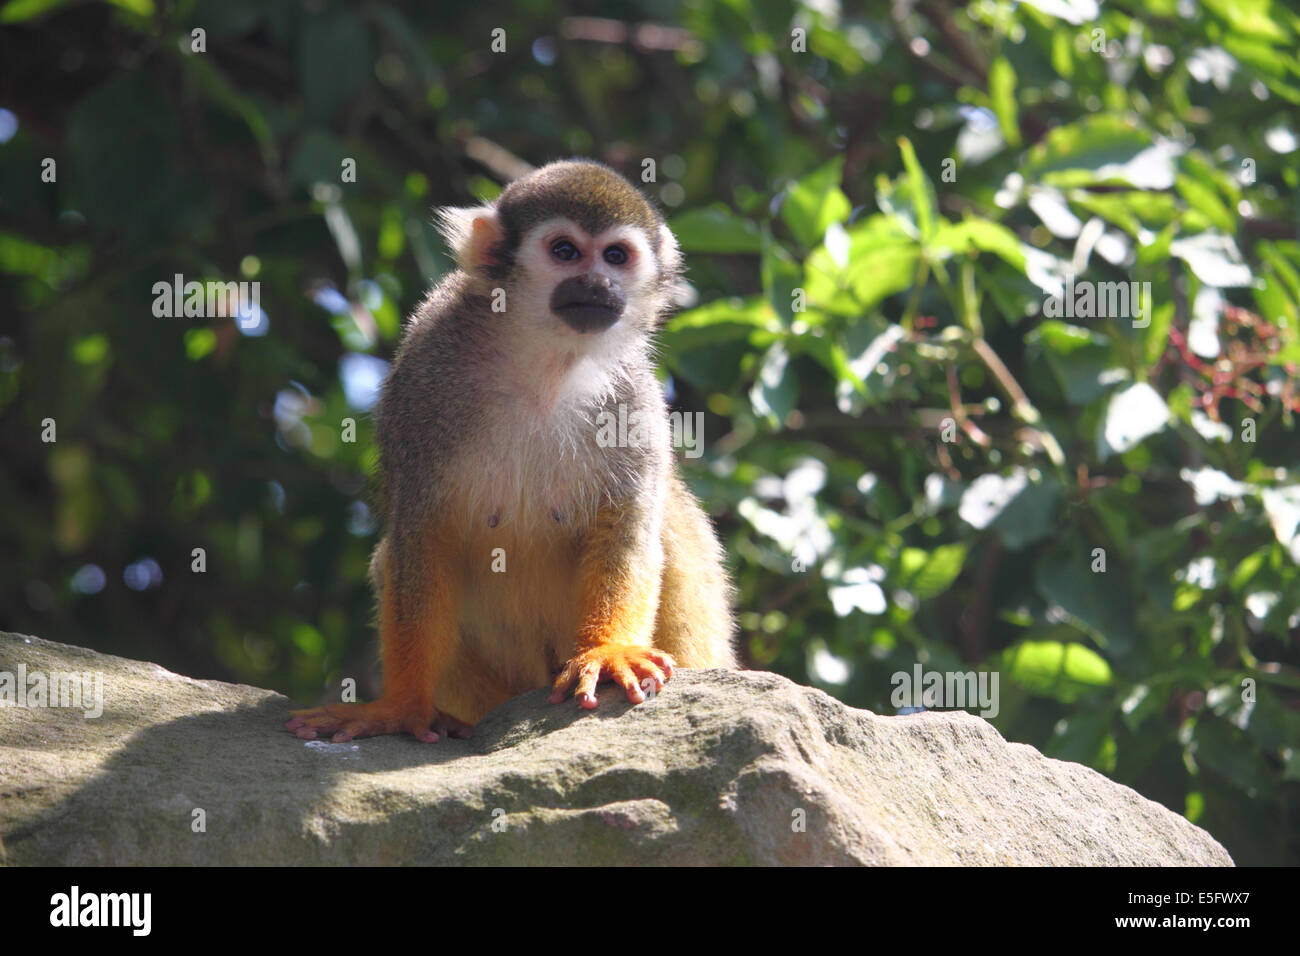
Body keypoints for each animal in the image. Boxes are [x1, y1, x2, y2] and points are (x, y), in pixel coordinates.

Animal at [285, 159, 736, 743]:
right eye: (565, 251)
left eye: (616, 256)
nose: (598, 283)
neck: (545, 360)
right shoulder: (423, 376)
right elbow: (421, 537)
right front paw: (399, 708)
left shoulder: (634, 394)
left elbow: (628, 524)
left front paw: (609, 650)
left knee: (669, 516)